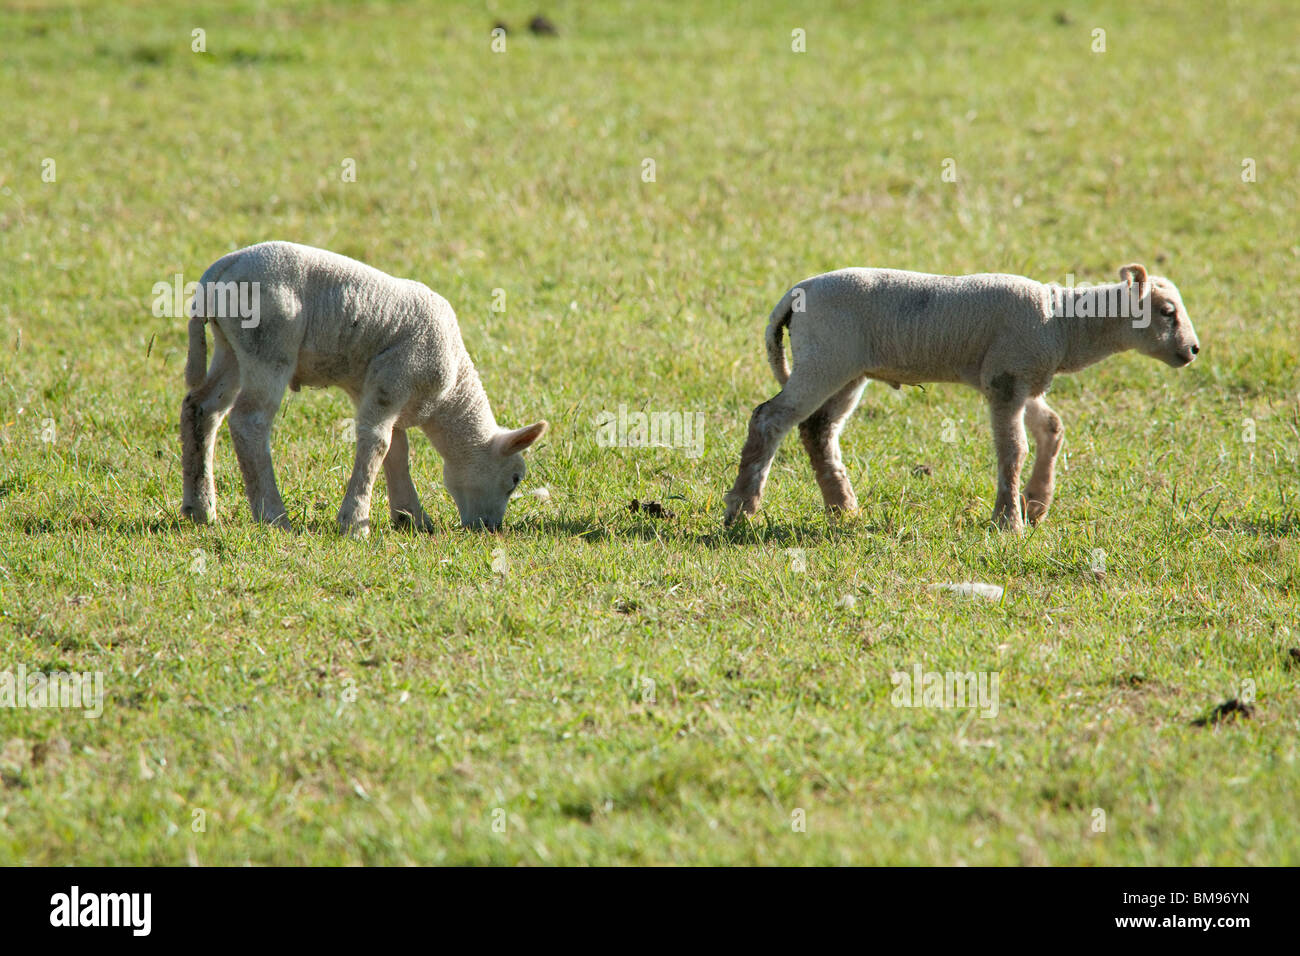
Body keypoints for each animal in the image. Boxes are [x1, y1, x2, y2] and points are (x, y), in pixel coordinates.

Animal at [180, 241, 547, 535]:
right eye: (515, 479)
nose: (490, 528)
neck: (450, 396)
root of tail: (220, 269)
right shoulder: (396, 375)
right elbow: (378, 444)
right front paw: (355, 523)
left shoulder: (373, 388)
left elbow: (397, 449)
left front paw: (410, 518)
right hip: (269, 344)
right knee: (249, 421)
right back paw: (272, 515)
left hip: (230, 346)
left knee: (202, 408)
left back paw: (200, 508)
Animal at [723, 264, 1200, 532]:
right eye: (1167, 312)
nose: (1193, 350)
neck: (1065, 323)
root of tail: (794, 294)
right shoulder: (1006, 378)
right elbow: (1014, 449)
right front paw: (1008, 522)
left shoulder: (1023, 378)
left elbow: (1051, 429)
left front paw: (1036, 504)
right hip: (825, 357)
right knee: (769, 418)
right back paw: (742, 510)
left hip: (846, 370)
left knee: (818, 429)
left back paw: (844, 509)